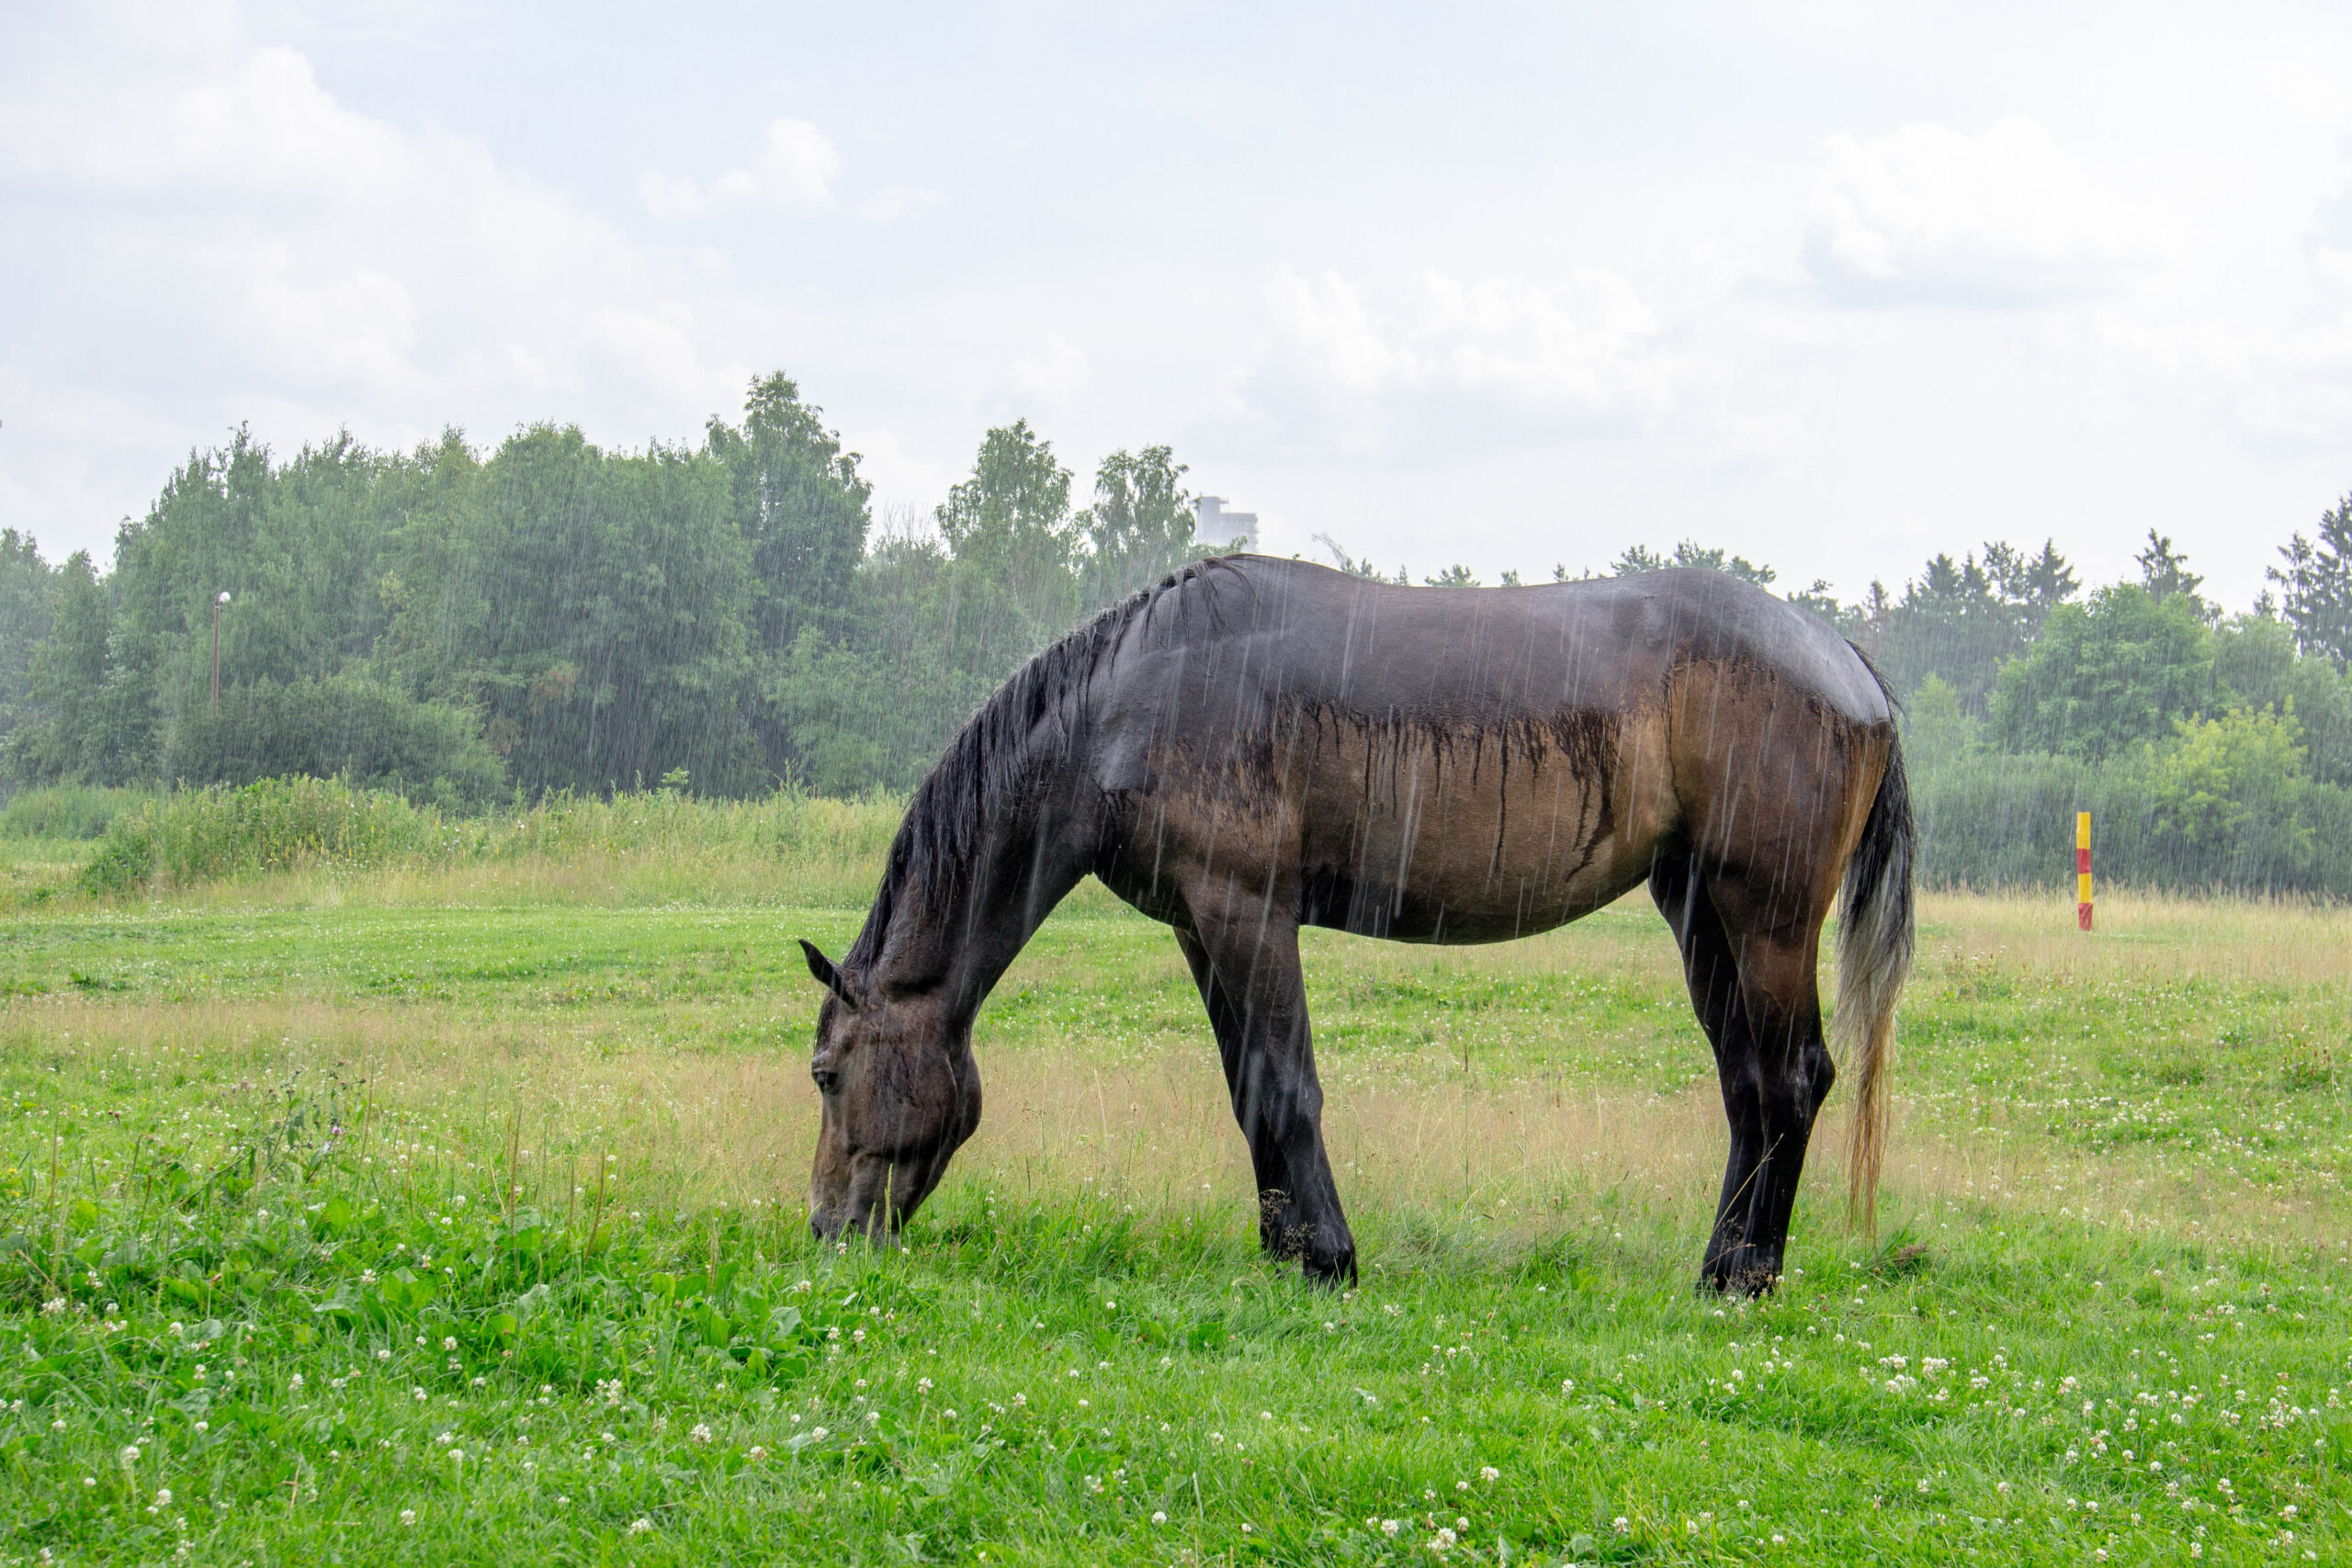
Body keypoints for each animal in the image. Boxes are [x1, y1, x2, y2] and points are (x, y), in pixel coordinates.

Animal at [796, 555, 1913, 1294]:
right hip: (1701, 914)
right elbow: (1250, 1090)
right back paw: (1722, 1261)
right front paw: (1283, 1246)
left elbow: (1287, 1085)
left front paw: (1328, 1256)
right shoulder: (1200, 924)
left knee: (1791, 1077)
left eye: (824, 1074)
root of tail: (1844, 658)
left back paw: (1747, 1274)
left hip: (1764, 917)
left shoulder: (1247, 910)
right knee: (1747, 1088)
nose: (826, 1231)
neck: (1128, 700)